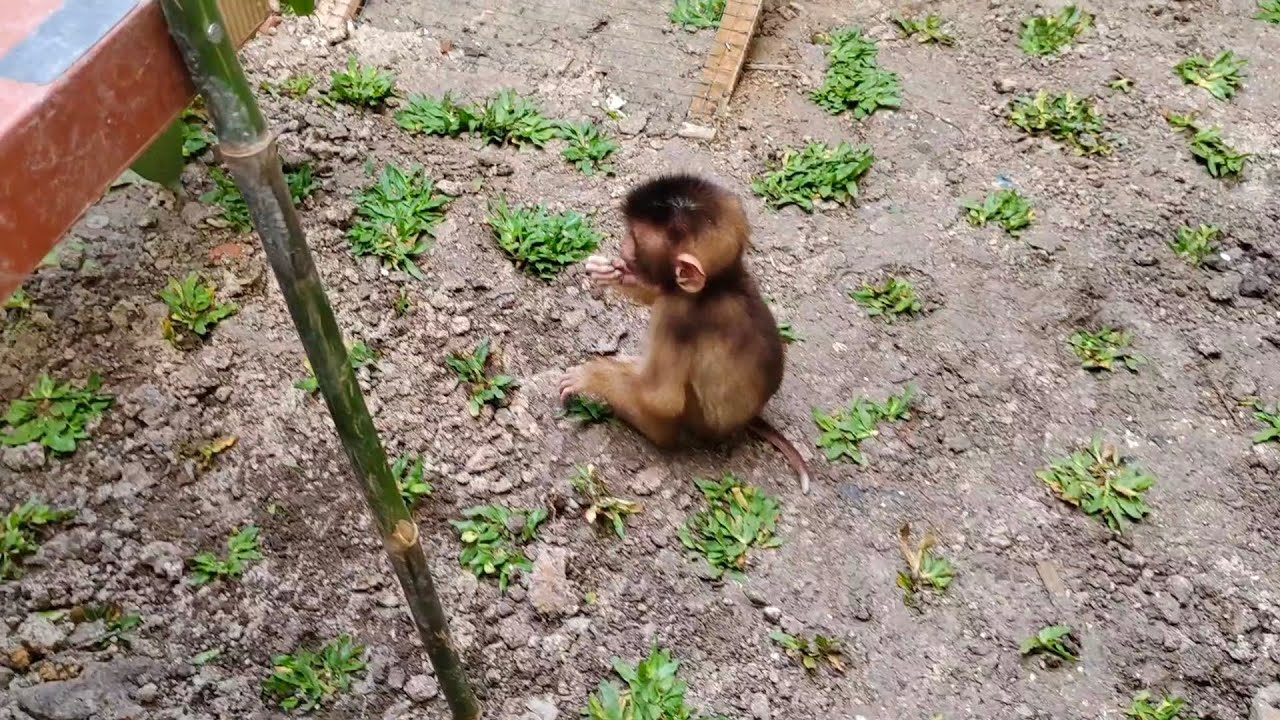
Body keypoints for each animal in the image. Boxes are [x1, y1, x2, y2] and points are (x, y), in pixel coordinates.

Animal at [558, 174, 812, 493]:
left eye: (634, 239)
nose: (623, 247)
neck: (716, 286)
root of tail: (749, 417)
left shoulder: (675, 316)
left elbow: (662, 397)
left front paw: (591, 376)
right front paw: (614, 273)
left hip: (692, 422)